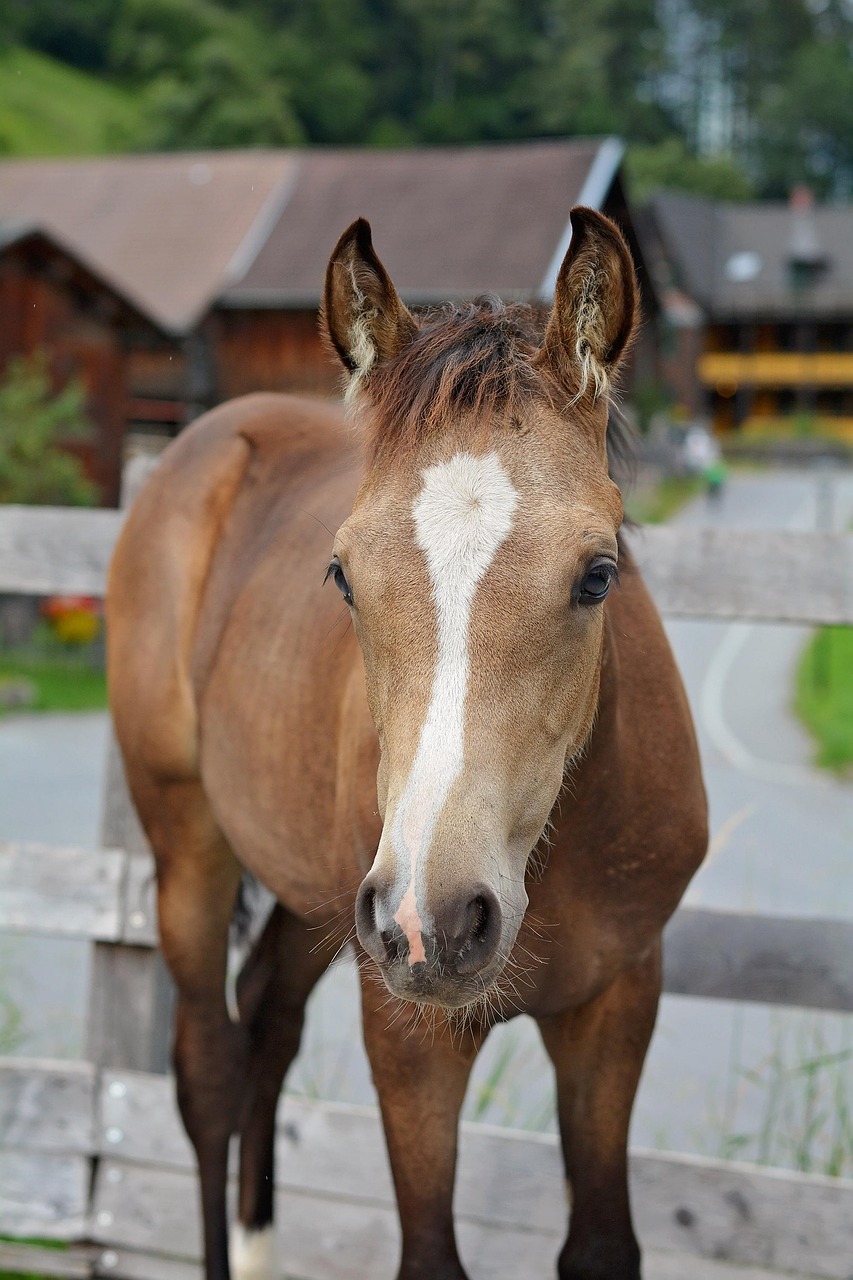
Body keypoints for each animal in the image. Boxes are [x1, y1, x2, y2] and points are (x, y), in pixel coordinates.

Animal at [106, 207, 707, 1280]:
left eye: (598, 574)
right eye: (342, 575)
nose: (434, 921)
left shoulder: (617, 1005)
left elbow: (601, 1246)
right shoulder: (410, 1031)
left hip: (315, 894)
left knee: (266, 1021)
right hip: (194, 852)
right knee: (209, 1069)